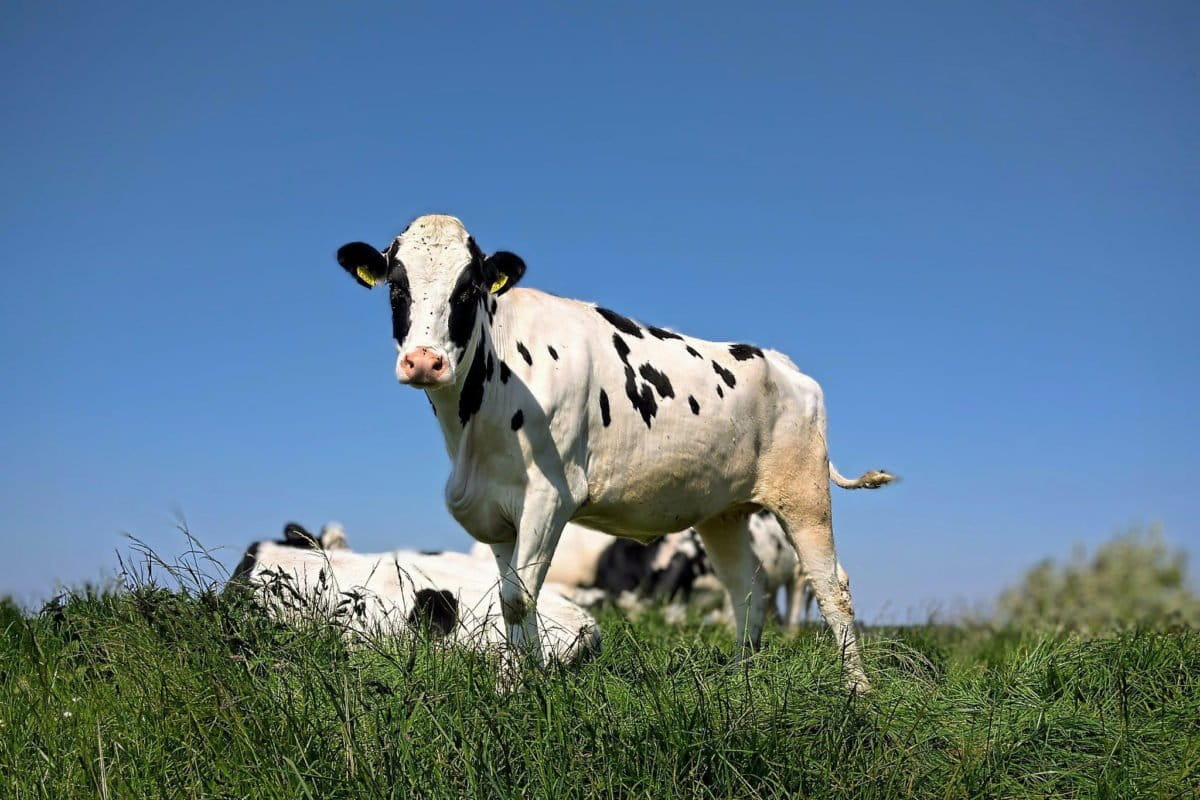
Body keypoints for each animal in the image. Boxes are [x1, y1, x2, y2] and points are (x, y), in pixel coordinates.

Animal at [334, 214, 894, 692]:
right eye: (397, 288)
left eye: (468, 288)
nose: (423, 361)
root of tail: (781, 362)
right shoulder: (497, 514)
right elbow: (512, 596)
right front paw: (526, 681)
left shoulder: (550, 497)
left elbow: (517, 599)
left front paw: (515, 688)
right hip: (723, 512)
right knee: (747, 590)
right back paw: (742, 683)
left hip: (804, 494)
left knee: (832, 586)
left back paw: (858, 691)